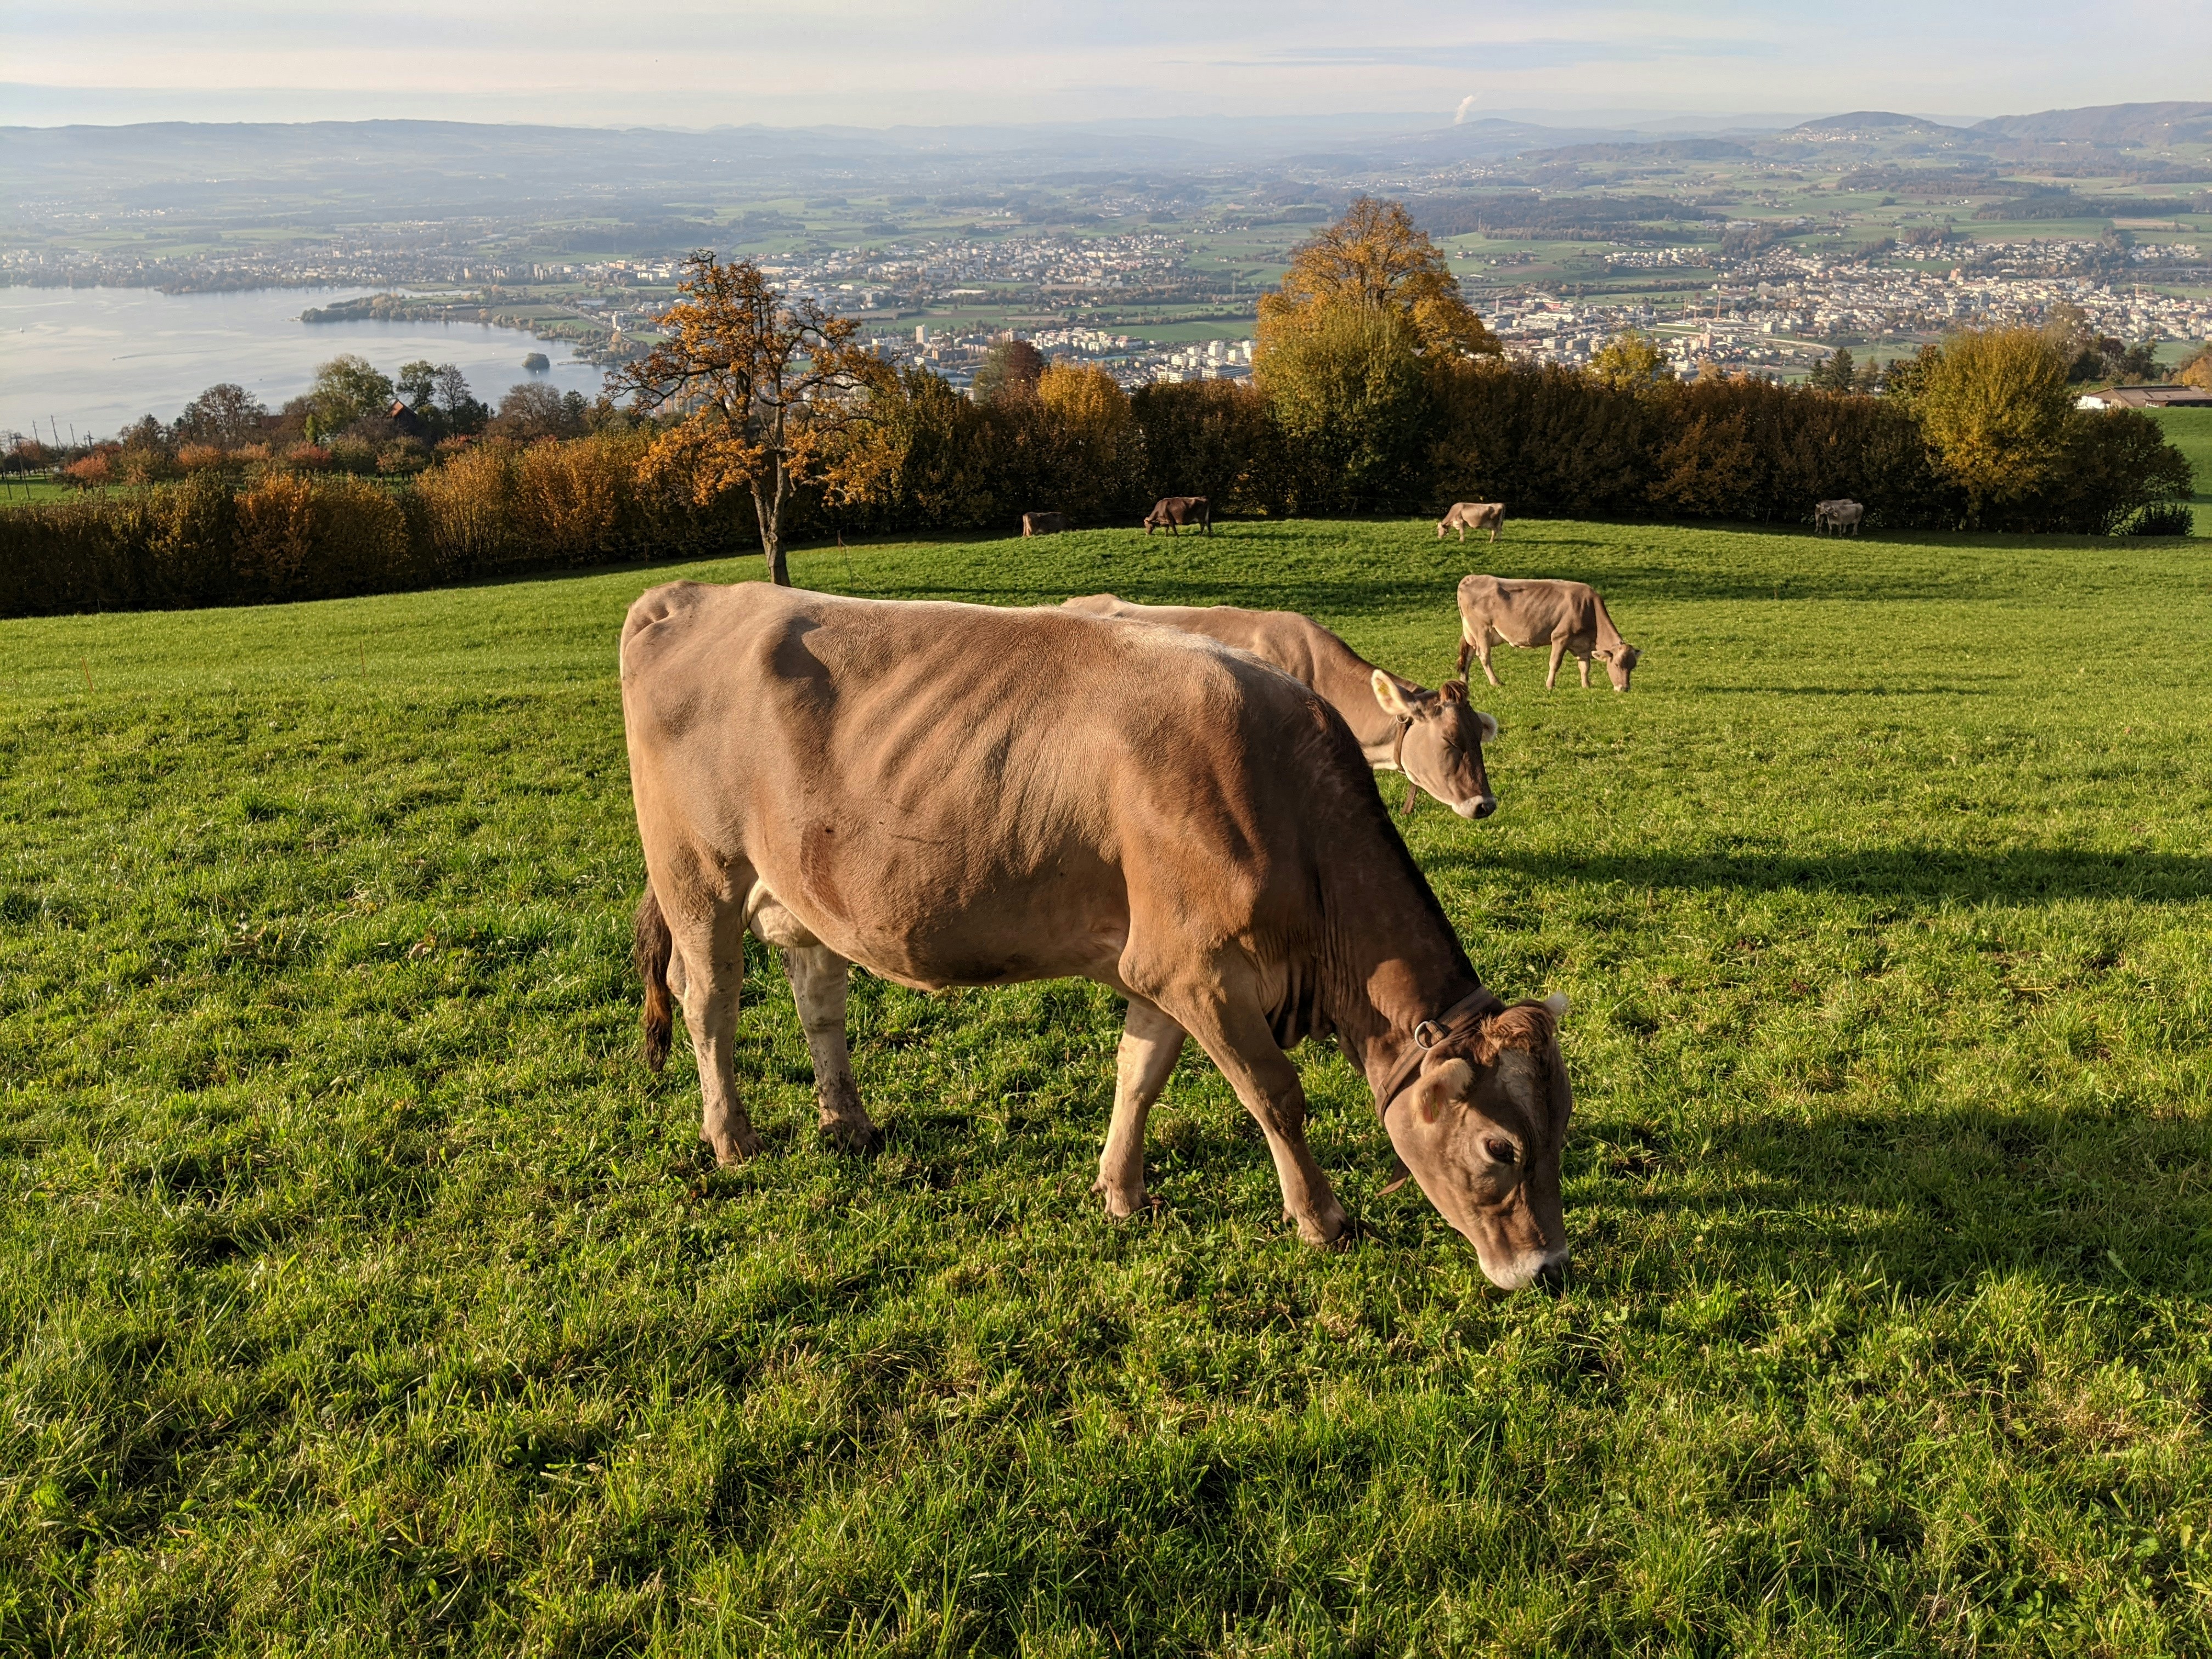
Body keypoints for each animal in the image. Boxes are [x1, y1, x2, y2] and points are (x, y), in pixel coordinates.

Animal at [1457, 575, 1641, 692]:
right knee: (1484, 656)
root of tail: (1472, 577)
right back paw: (1496, 682)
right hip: (1483, 630)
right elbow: (1555, 663)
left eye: (1633, 666)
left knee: (1469, 654)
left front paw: (1586, 685)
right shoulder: (1561, 637)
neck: (1590, 609)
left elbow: (1585, 666)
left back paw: (1464, 681)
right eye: (1617, 665)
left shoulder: (1581, 644)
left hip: (1471, 633)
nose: (1625, 689)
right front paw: (1550, 685)